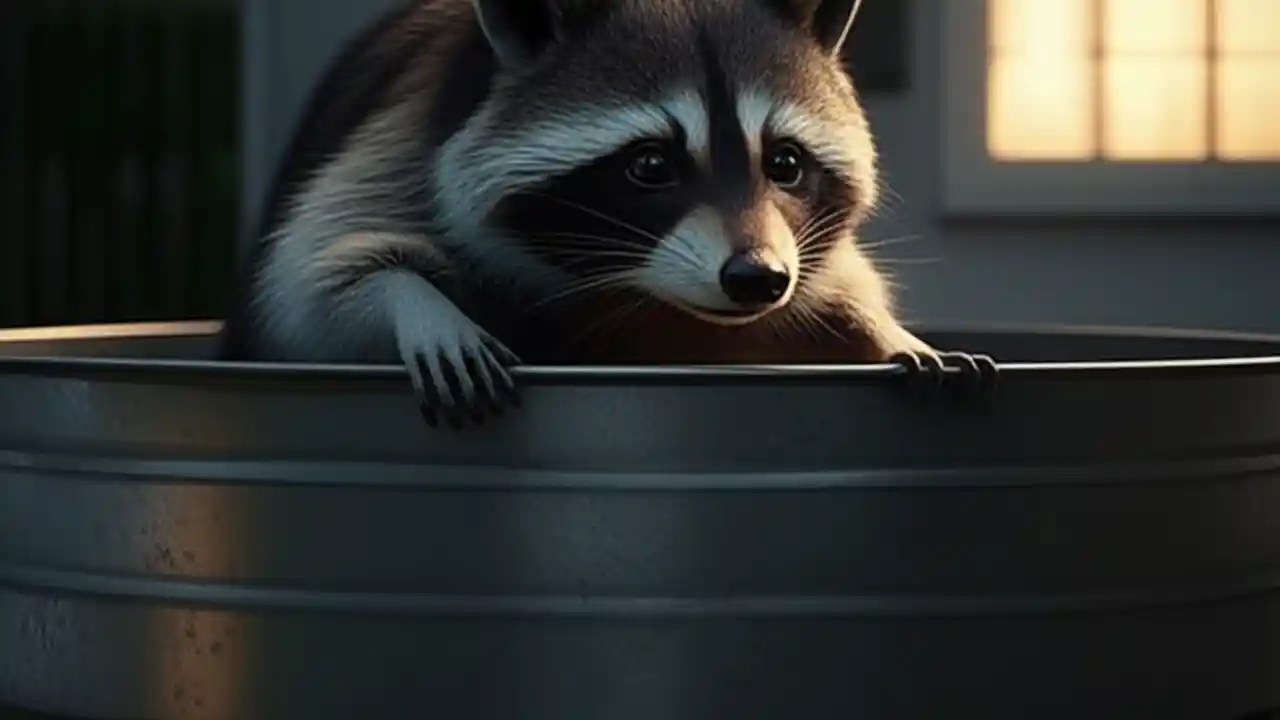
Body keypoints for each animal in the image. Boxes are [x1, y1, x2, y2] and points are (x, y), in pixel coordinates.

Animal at [220, 0, 997, 428]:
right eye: (651, 165)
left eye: (785, 163)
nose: (756, 278)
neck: (638, 294)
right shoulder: (397, 152)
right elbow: (307, 291)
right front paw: (413, 301)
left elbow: (833, 291)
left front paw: (886, 331)